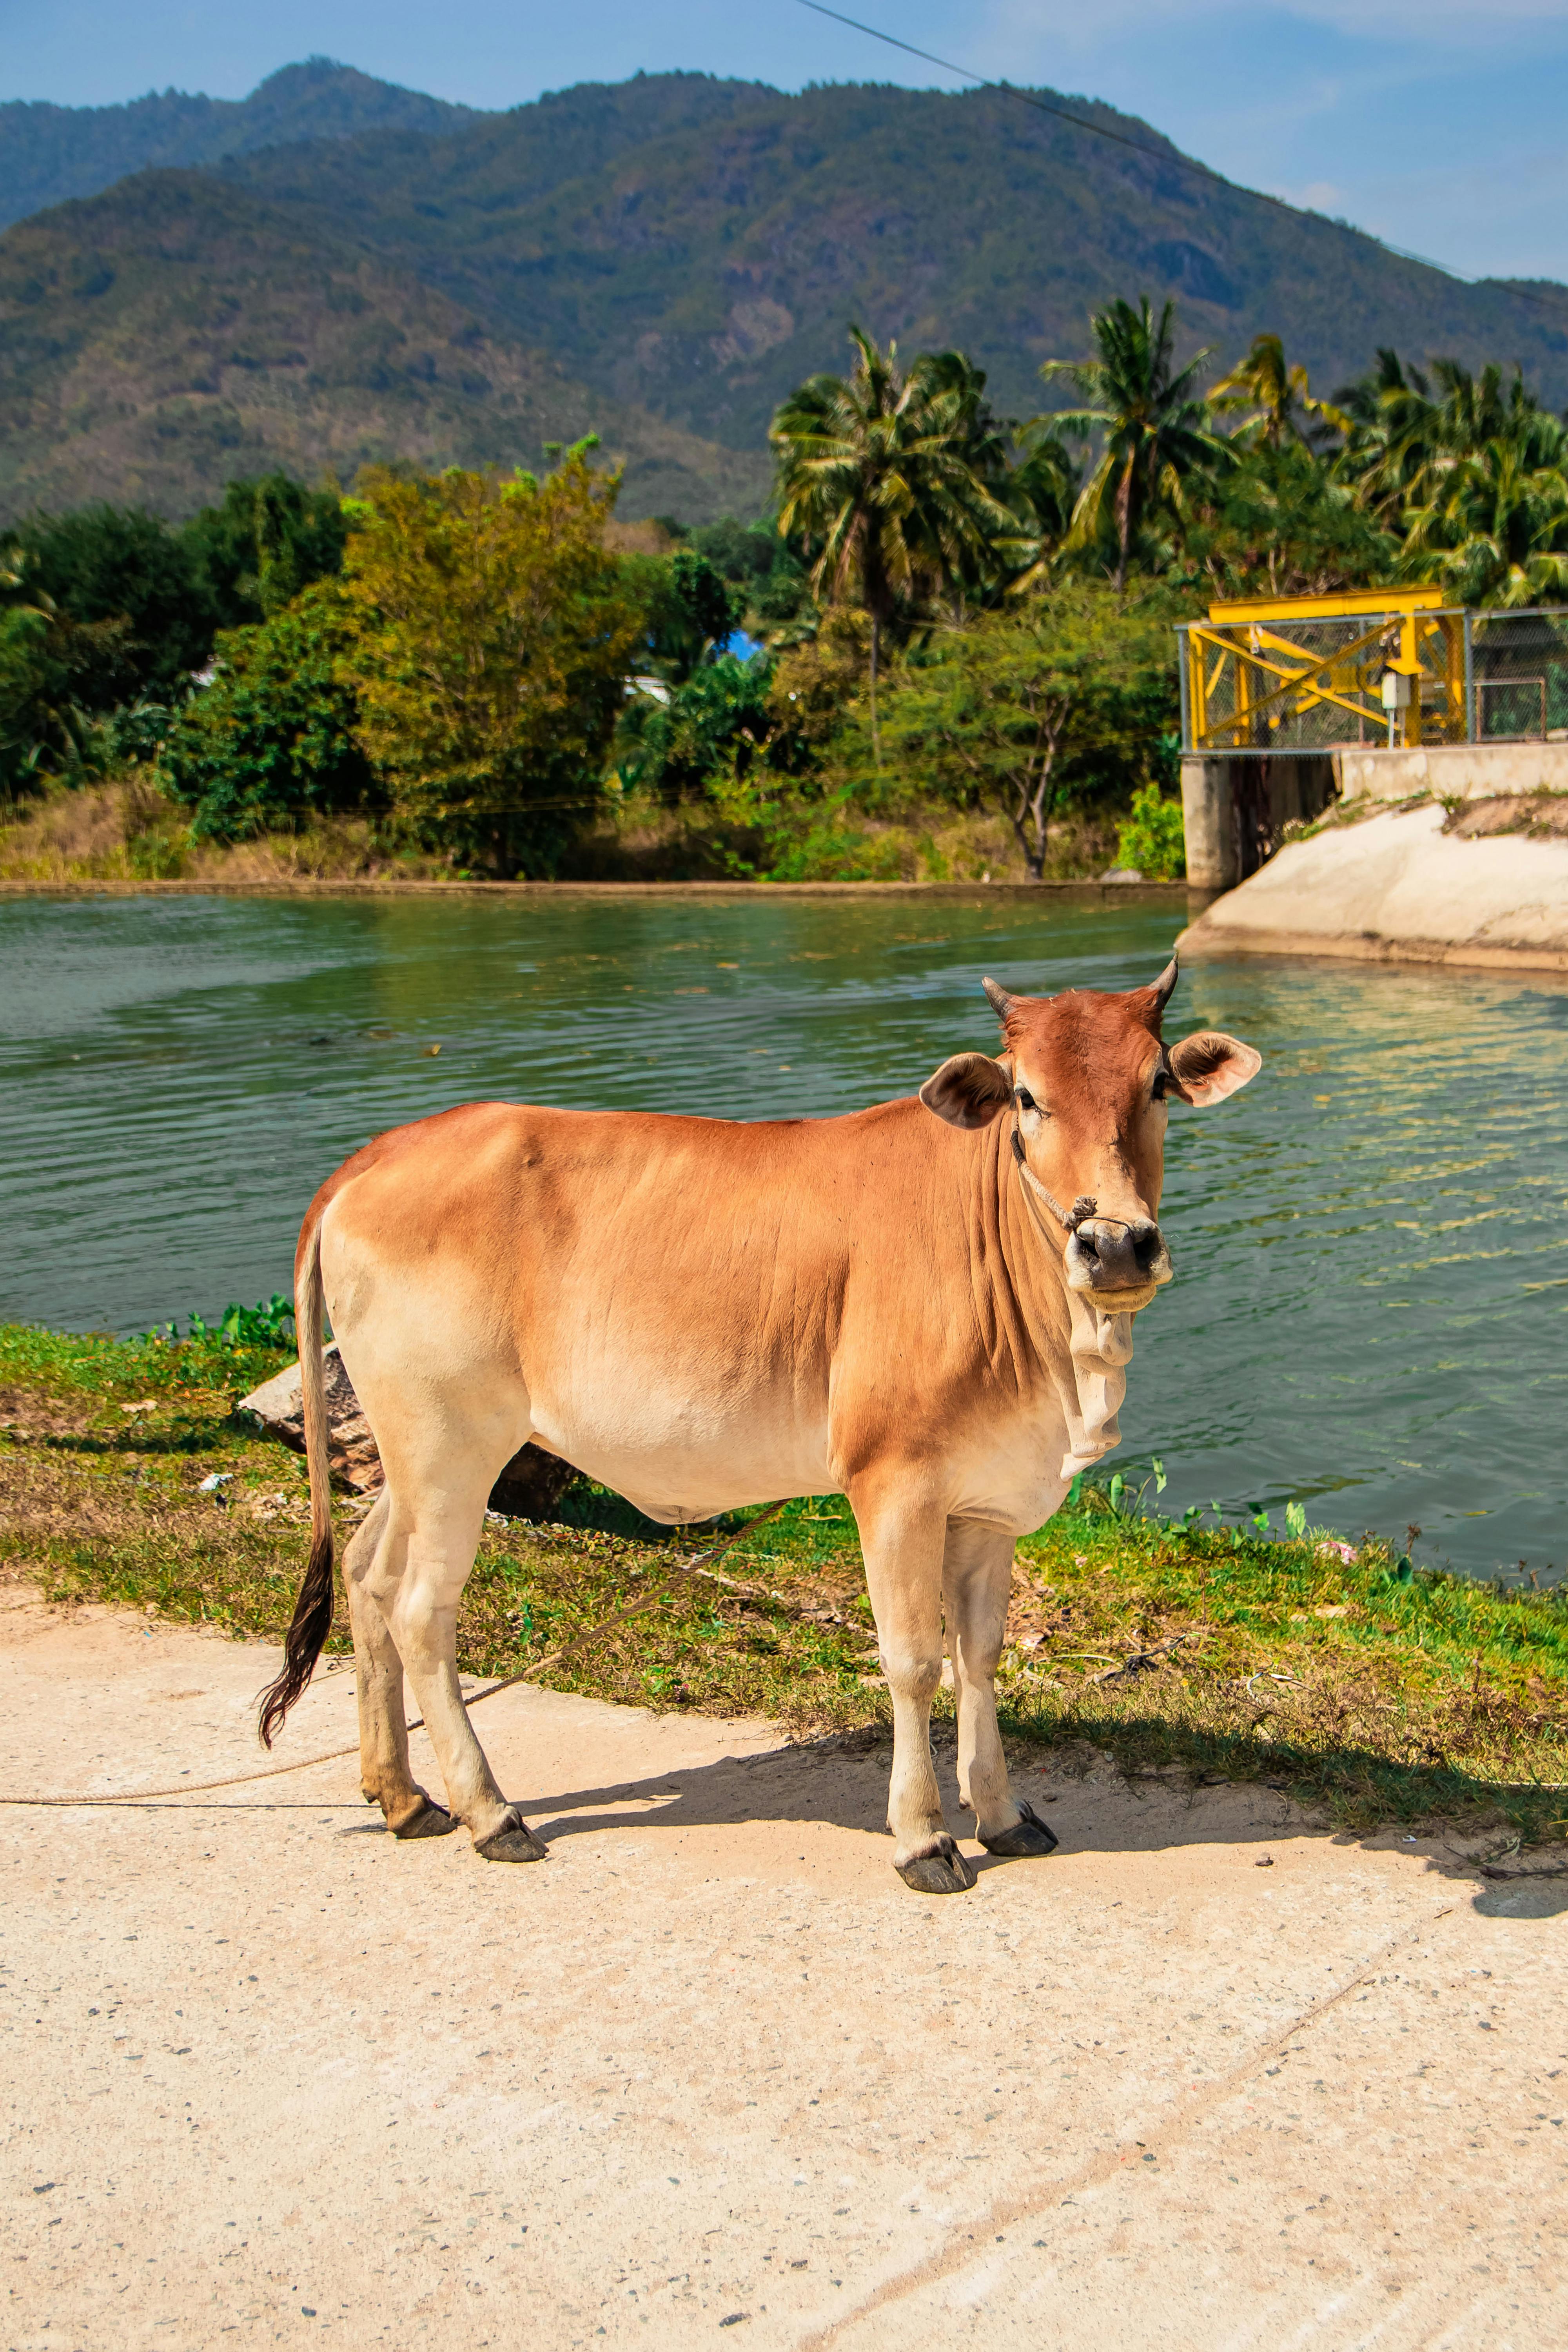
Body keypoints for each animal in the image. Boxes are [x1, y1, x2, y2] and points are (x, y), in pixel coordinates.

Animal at [259, 958, 1260, 1894]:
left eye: (1156, 1084)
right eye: (1025, 1096)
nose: (1116, 1244)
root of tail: (381, 1152)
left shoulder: (985, 1500)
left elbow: (977, 1658)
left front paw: (1003, 1815)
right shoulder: (893, 1482)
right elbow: (911, 1660)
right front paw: (924, 1837)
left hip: (417, 1452)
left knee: (368, 1576)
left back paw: (401, 1796)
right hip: (450, 1445)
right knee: (422, 1611)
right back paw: (490, 1811)